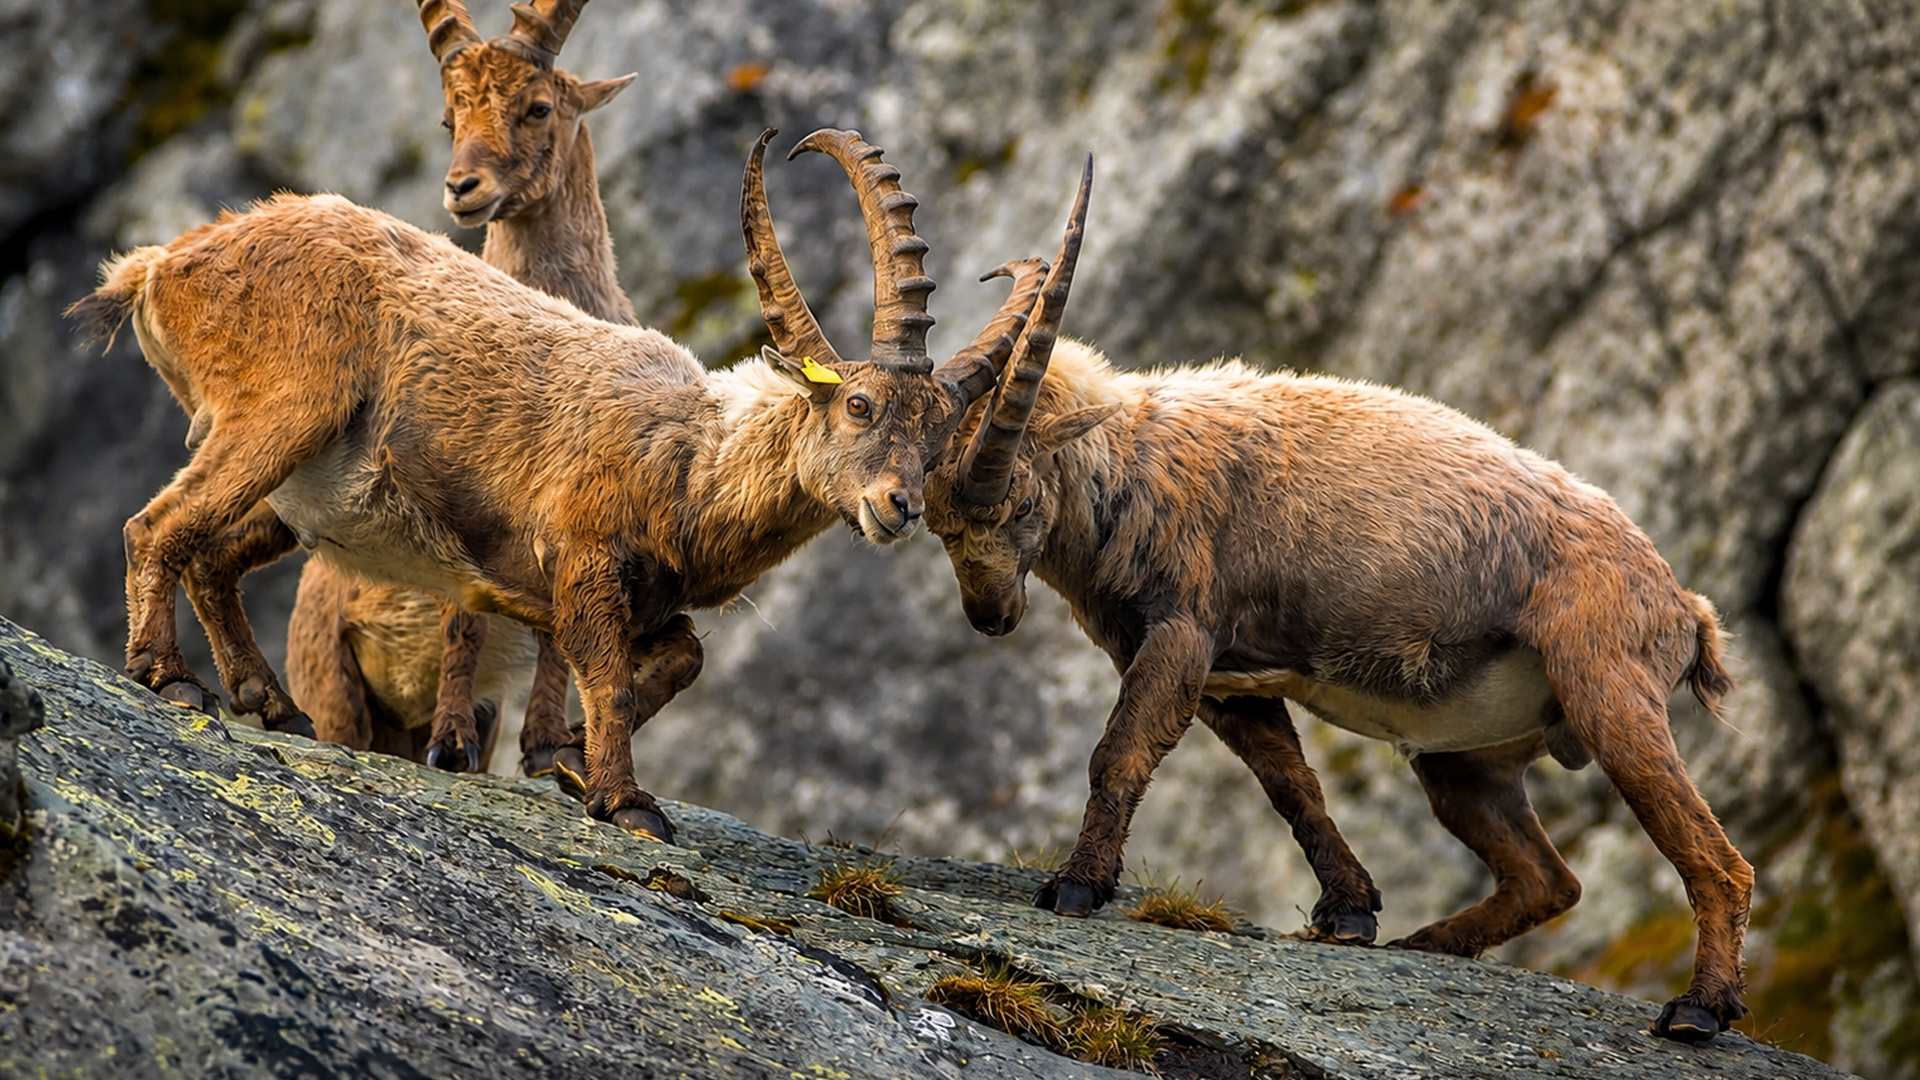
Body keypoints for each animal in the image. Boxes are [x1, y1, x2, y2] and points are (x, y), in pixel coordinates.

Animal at [69, 129, 1091, 842]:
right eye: (861, 407)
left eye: (938, 437)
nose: (897, 507)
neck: (690, 462)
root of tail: (165, 264)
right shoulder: (585, 559)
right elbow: (605, 670)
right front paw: (624, 801)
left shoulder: (634, 597)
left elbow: (677, 661)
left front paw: (567, 764)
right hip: (282, 414)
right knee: (154, 526)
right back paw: (169, 679)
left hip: (301, 487)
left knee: (211, 554)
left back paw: (269, 703)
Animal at [286, 0, 637, 780]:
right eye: (451, 119)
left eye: (538, 106)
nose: (462, 189)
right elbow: (462, 618)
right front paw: (451, 739)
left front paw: (549, 747)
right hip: (334, 685)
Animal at [921, 330, 1751, 1043]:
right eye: (937, 524)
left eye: (1023, 501)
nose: (991, 615)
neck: (1133, 468)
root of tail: (1684, 606)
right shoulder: (1229, 681)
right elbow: (1291, 785)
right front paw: (1351, 912)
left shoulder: (1183, 633)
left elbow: (1120, 753)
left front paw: (1076, 887)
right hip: (1465, 762)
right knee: (1548, 879)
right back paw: (1427, 944)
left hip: (1609, 693)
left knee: (1718, 864)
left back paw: (1699, 1010)